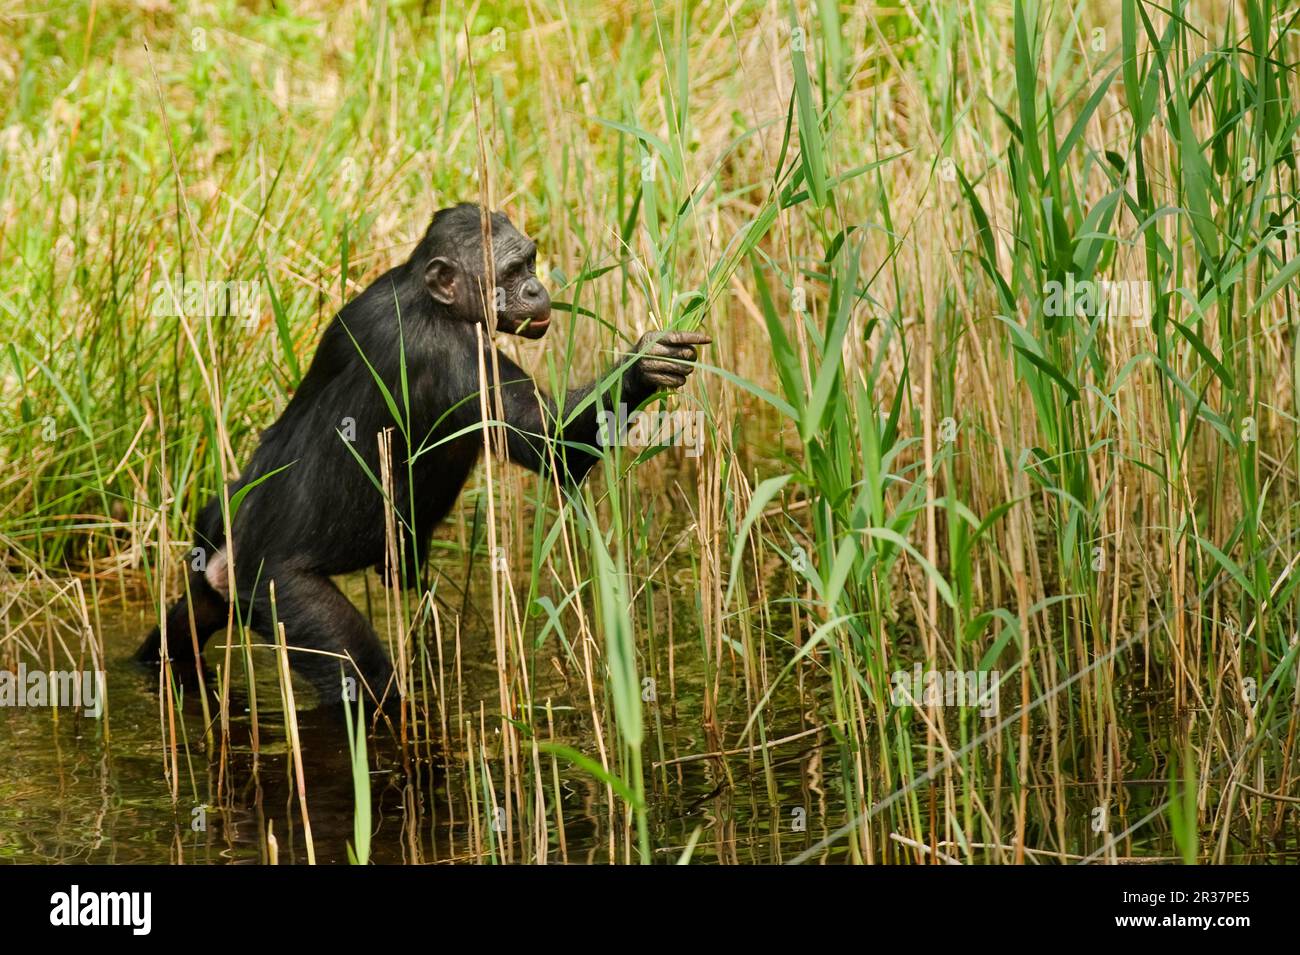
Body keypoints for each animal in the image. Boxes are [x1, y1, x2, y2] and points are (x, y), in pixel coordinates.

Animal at [137, 203, 710, 711]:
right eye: (510, 271)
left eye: (530, 261)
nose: (533, 288)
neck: (430, 300)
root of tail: (225, 562)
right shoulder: (451, 353)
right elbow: (551, 442)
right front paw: (645, 362)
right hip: (276, 587)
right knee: (359, 673)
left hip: (212, 549)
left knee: (187, 620)